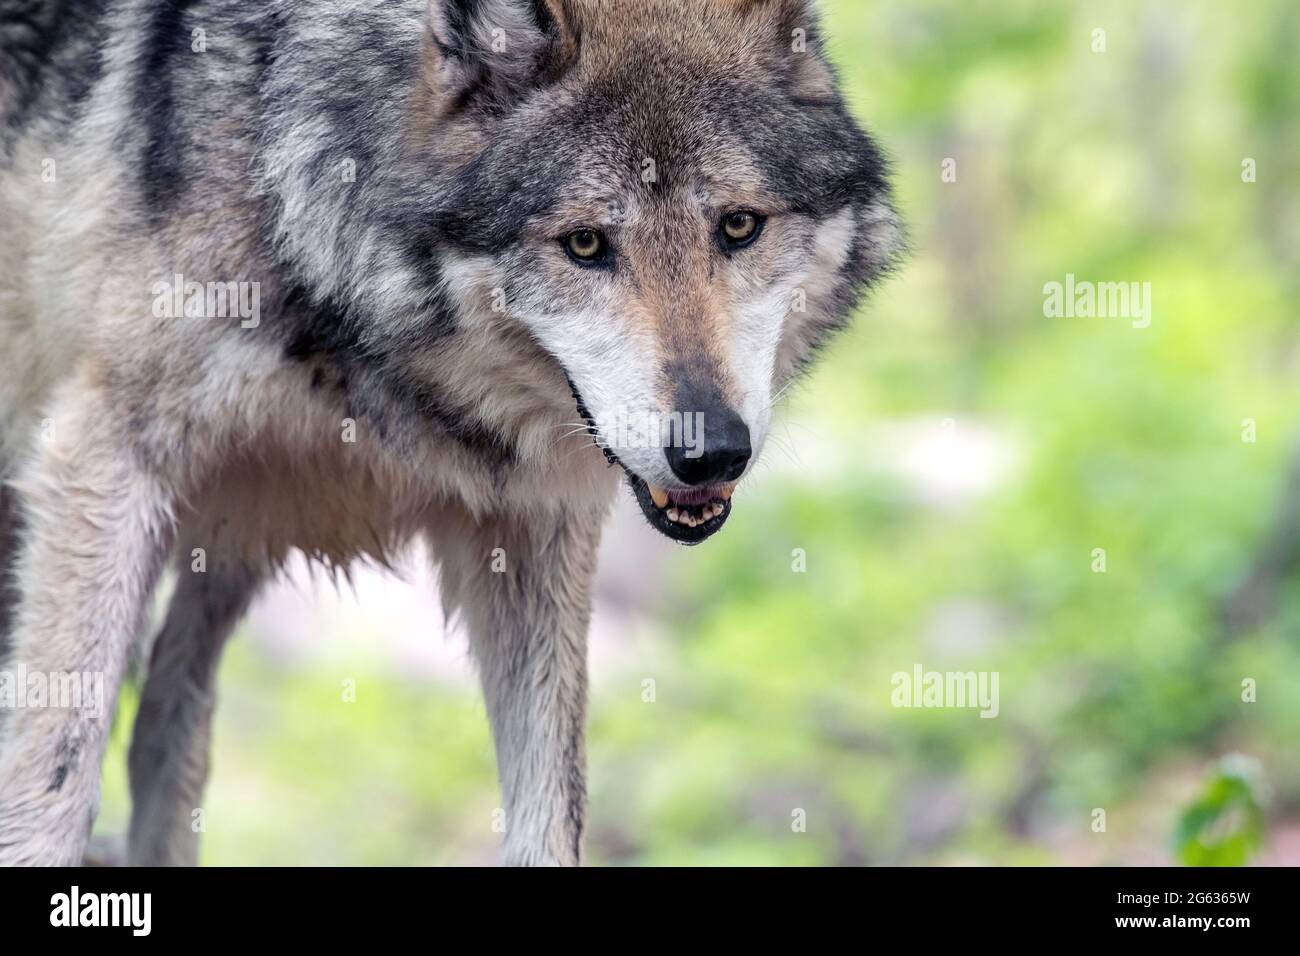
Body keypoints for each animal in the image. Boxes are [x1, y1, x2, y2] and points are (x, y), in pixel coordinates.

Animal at [0, 0, 900, 865]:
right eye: (585, 244)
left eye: (739, 227)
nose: (709, 448)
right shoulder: (102, 463)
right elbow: (51, 783)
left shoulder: (533, 531)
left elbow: (551, 817)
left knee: (167, 734)